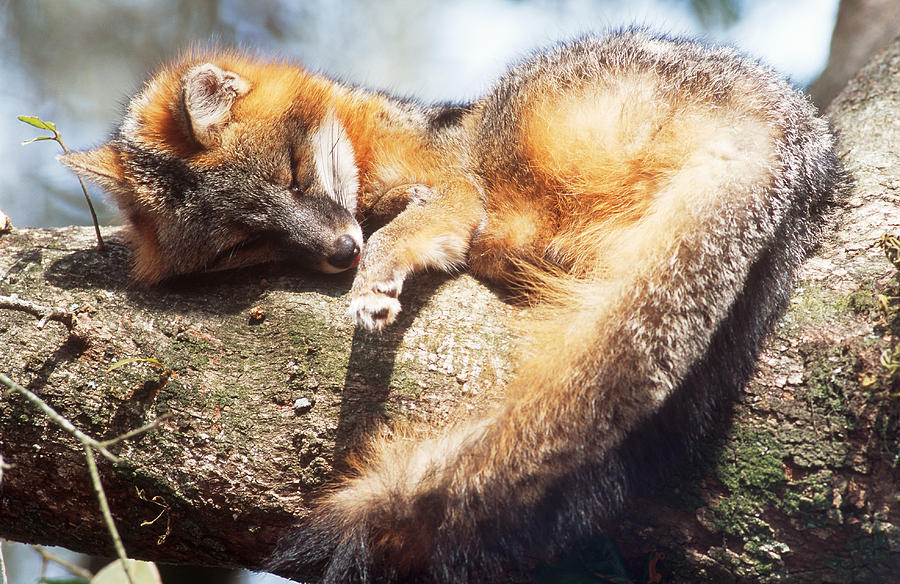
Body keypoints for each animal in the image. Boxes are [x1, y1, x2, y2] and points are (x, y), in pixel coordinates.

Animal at [62, 28, 843, 583]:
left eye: (293, 174)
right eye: (243, 244)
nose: (341, 252)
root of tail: (783, 129)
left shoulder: (454, 184)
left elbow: (412, 229)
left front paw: (378, 277)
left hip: (529, 106)